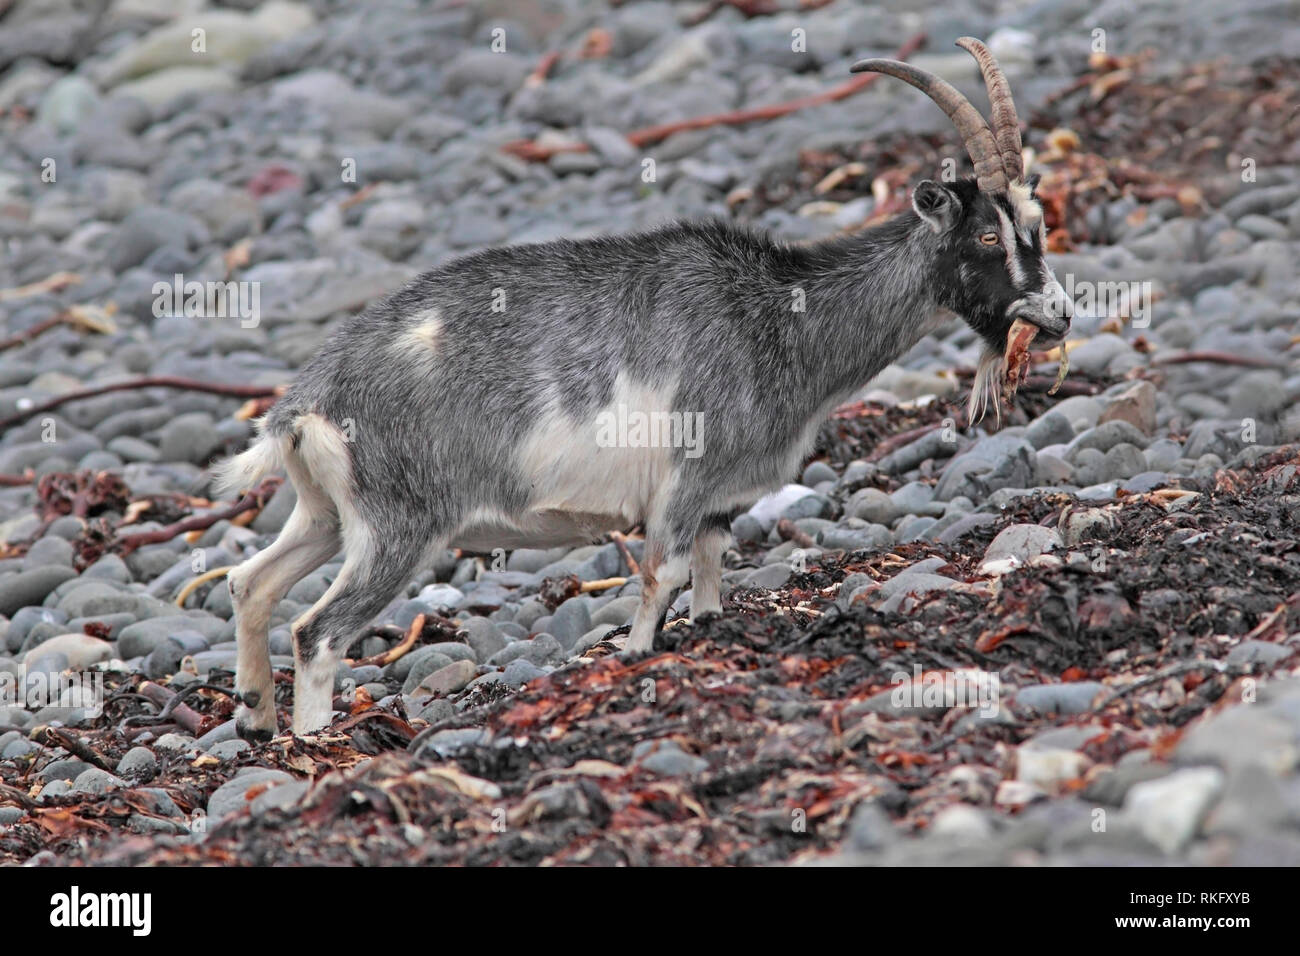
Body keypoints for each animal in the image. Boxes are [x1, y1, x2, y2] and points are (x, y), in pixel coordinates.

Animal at [215, 38, 1072, 738]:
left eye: (1038, 224)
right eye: (988, 234)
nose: (1060, 313)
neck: (779, 317)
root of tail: (304, 405)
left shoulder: (721, 498)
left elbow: (709, 578)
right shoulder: (685, 480)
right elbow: (660, 576)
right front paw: (634, 657)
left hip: (329, 515)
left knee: (251, 582)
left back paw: (256, 715)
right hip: (399, 522)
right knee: (319, 632)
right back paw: (313, 742)